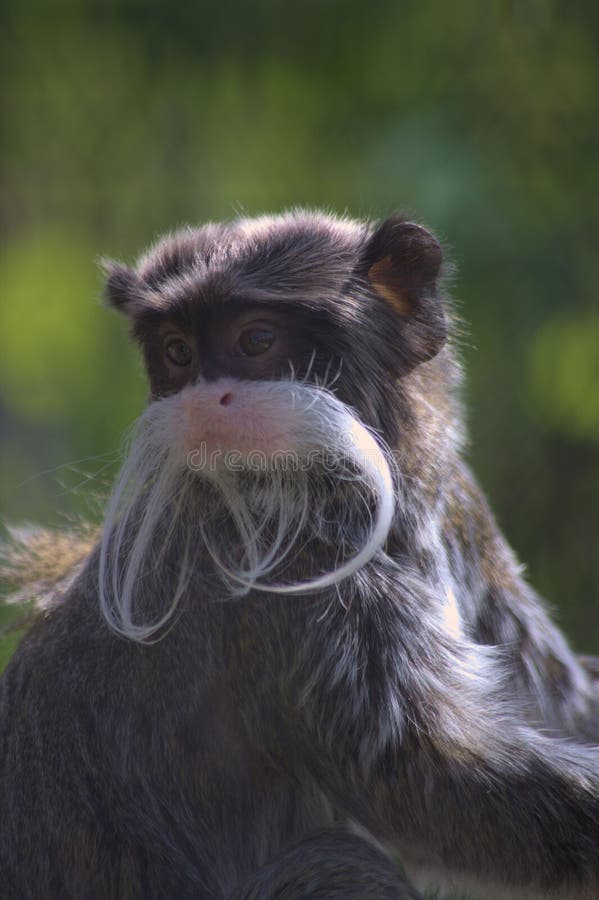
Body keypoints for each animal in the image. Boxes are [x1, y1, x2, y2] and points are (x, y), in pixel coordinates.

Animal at [1, 210, 599, 900]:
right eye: (178, 352)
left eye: (256, 340)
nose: (203, 400)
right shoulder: (285, 575)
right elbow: (424, 778)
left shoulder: (460, 508)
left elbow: (558, 698)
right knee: (341, 866)